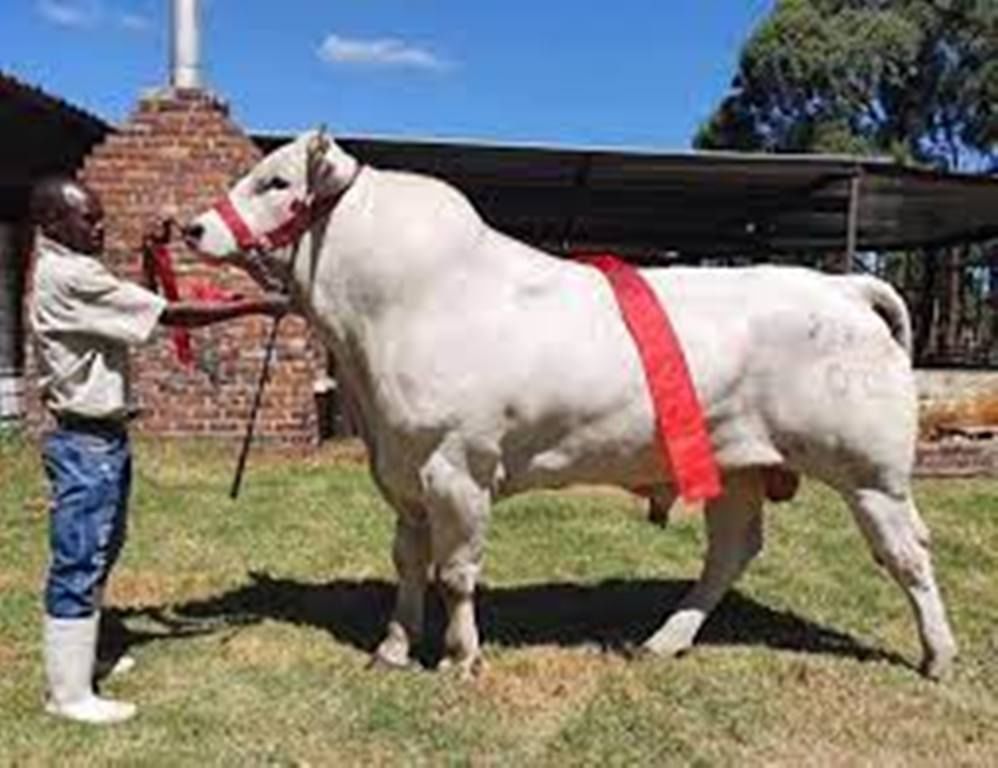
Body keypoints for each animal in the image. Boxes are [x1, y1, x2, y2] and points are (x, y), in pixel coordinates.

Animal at [184, 129, 957, 680]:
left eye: (276, 181)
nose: (191, 228)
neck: (389, 313)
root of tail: (842, 287)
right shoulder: (401, 472)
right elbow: (408, 561)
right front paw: (395, 647)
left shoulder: (458, 467)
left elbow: (456, 571)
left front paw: (461, 657)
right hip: (737, 466)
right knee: (732, 550)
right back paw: (663, 640)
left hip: (872, 473)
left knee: (909, 554)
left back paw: (939, 655)